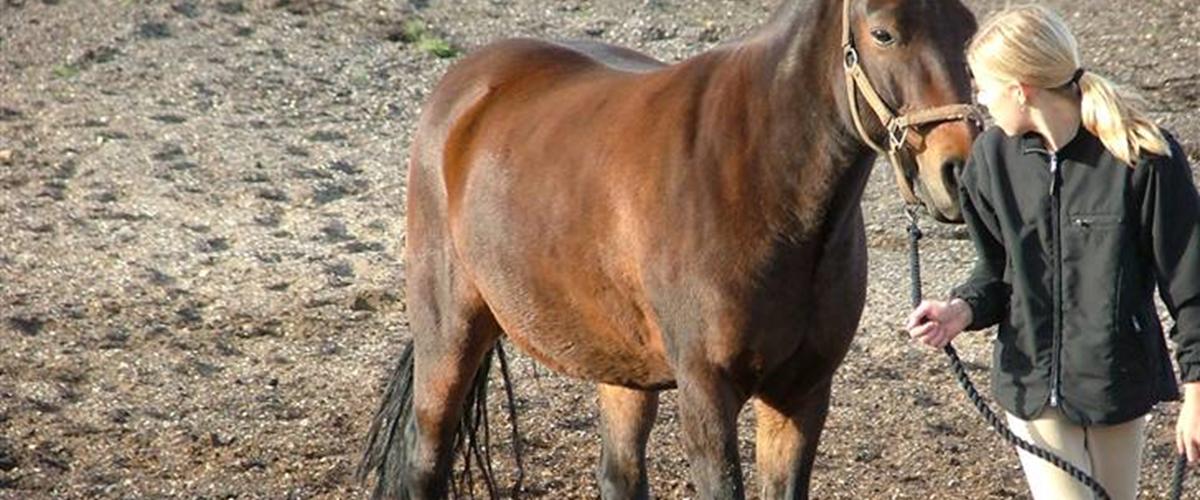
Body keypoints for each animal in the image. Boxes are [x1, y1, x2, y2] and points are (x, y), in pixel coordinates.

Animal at [362, 0, 979, 498]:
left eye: (968, 32)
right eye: (884, 34)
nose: (956, 172)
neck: (757, 178)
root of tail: (468, 85)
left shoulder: (802, 393)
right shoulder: (707, 390)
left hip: (620, 367)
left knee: (619, 476)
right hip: (450, 337)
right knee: (426, 465)